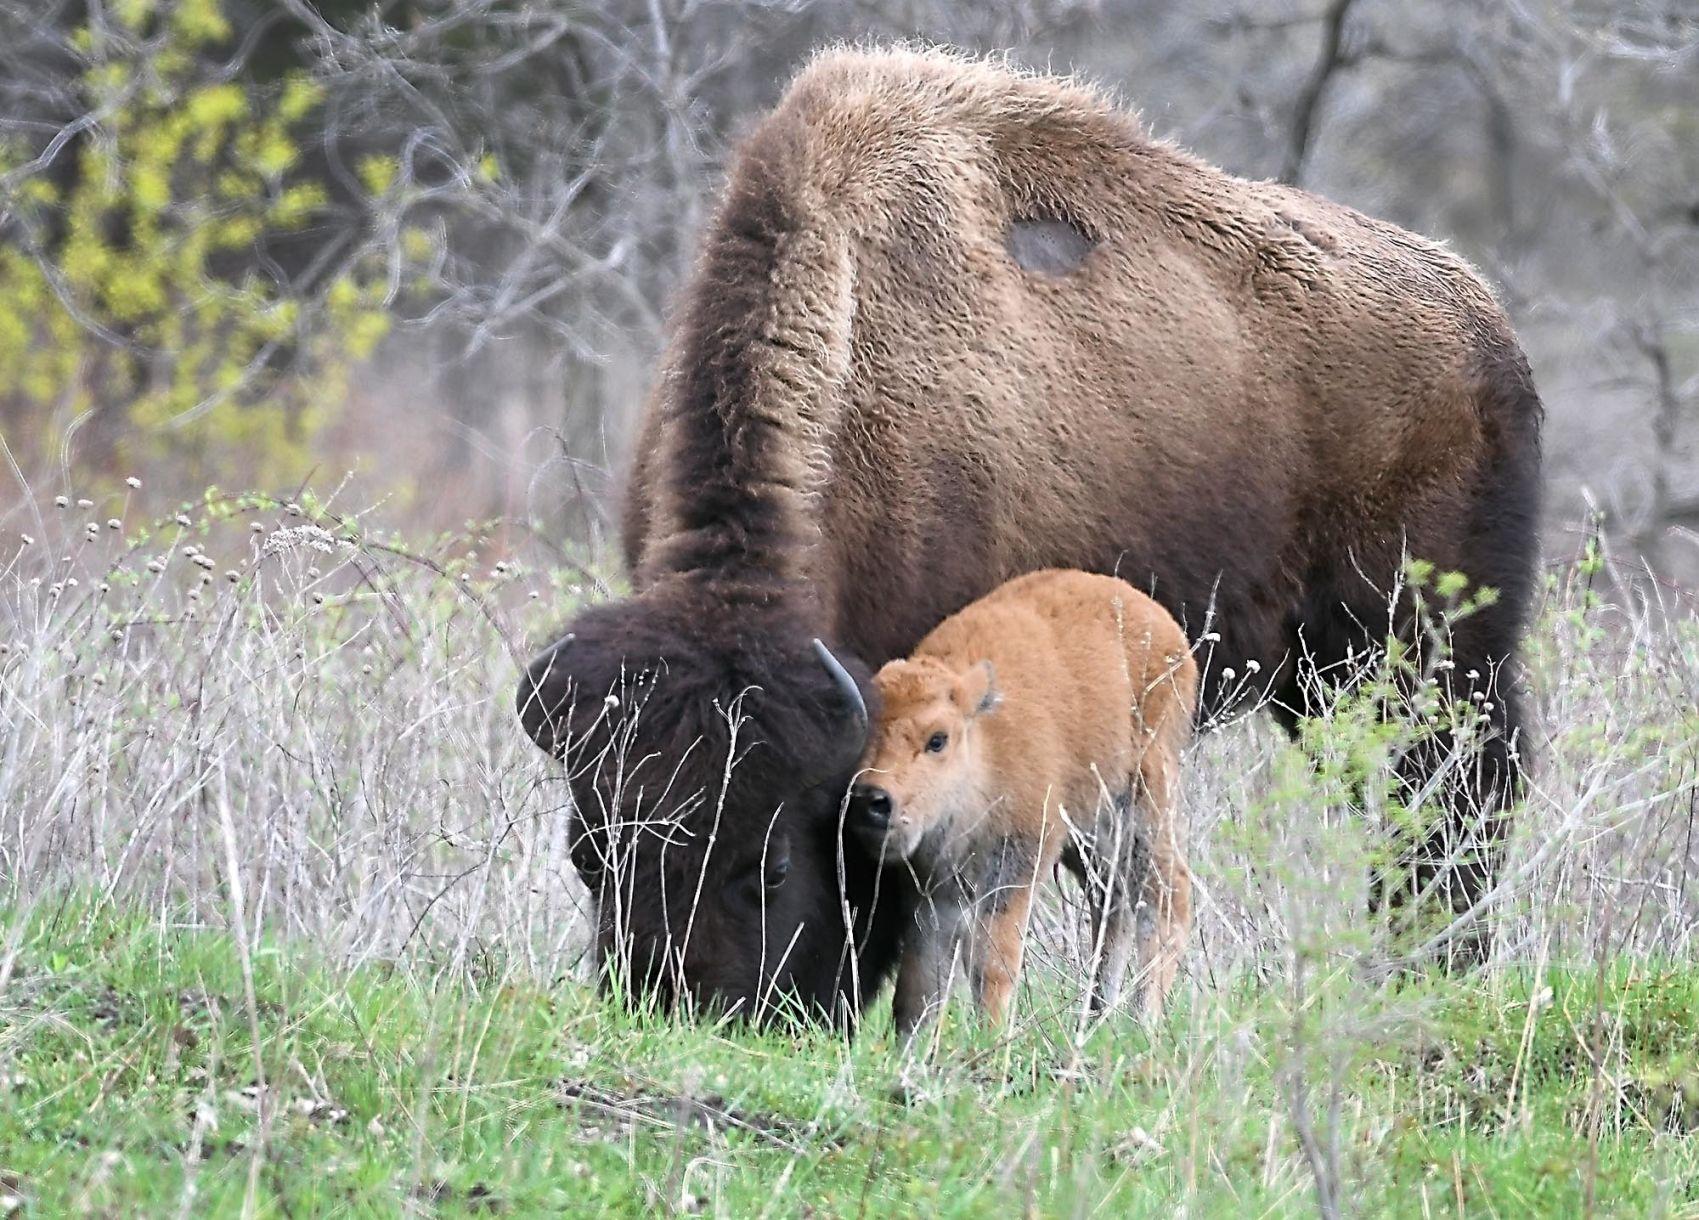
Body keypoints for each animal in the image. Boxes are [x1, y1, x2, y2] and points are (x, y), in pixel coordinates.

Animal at [516, 47, 1542, 1023]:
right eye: (586, 856)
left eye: (766, 865)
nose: (677, 1005)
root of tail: (1484, 328)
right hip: (1312, 683)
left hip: (1420, 659)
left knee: (1456, 801)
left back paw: (1428, 973)